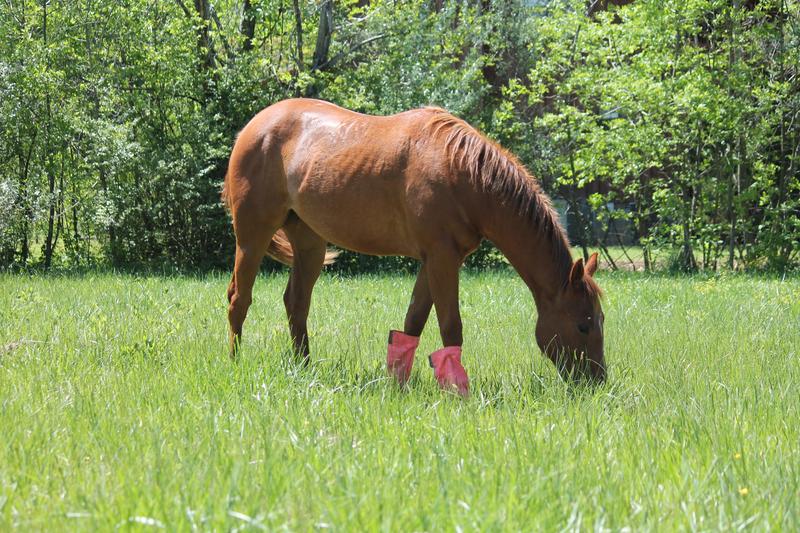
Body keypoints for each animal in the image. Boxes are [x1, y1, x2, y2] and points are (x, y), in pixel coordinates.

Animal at [222, 98, 605, 396]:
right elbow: (450, 326)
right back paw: (234, 362)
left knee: (297, 303)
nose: (596, 383)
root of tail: (253, 126)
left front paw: (399, 384)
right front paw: (458, 390)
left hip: (309, 245)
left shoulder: (435, 260)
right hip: (252, 236)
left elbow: (412, 323)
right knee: (239, 299)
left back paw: (303, 366)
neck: (462, 172)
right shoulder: (441, 259)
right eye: (583, 325)